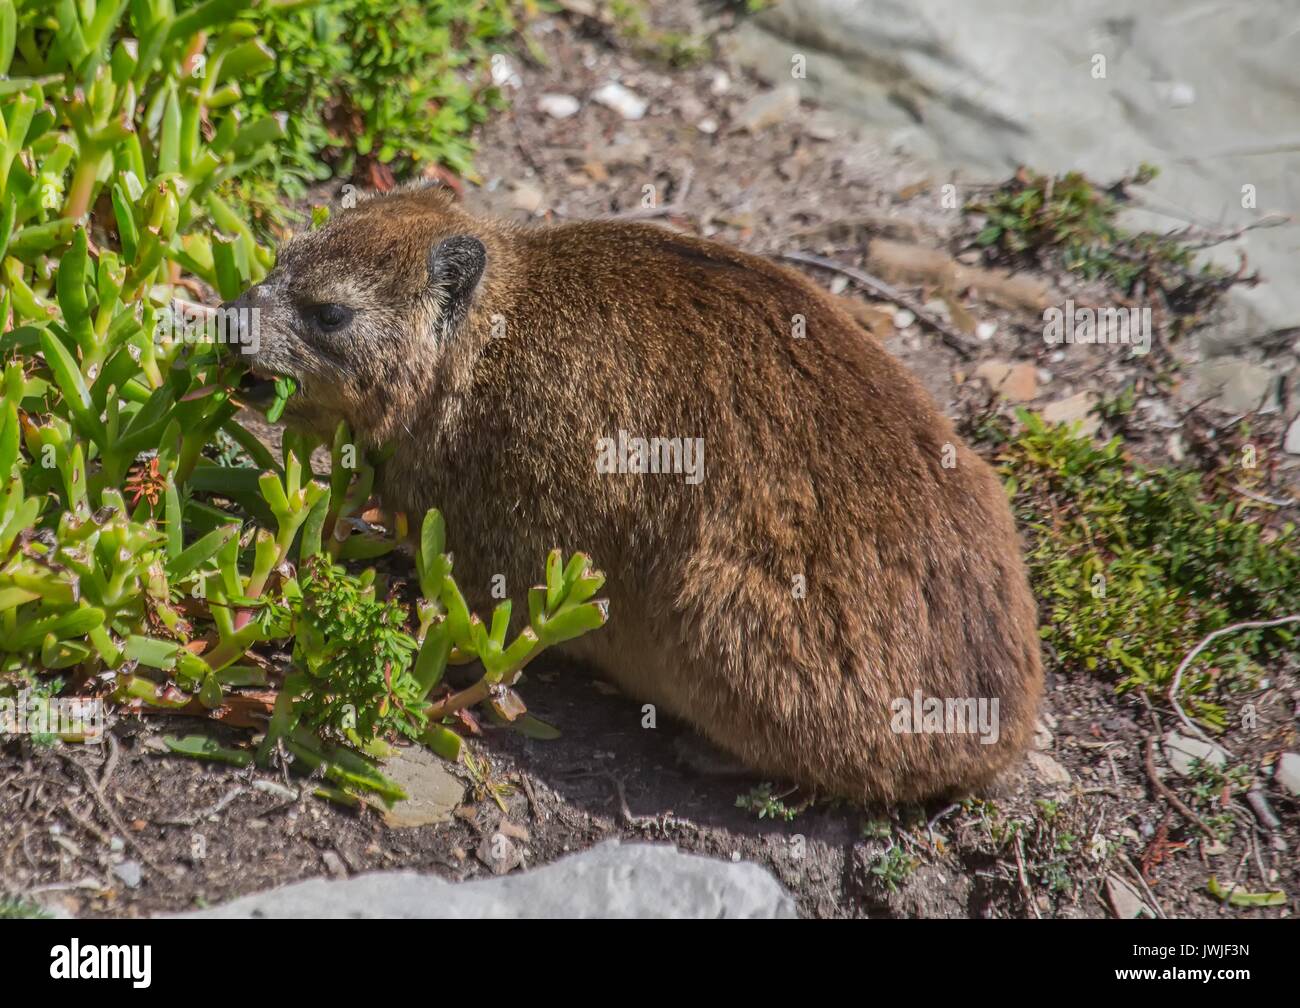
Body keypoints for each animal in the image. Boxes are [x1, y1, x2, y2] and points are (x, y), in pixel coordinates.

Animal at [229, 183, 1043, 803]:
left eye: (330, 312)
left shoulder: (518, 507)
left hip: (719, 611)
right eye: (280, 256)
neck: (484, 352)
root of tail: (999, 730)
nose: (230, 316)